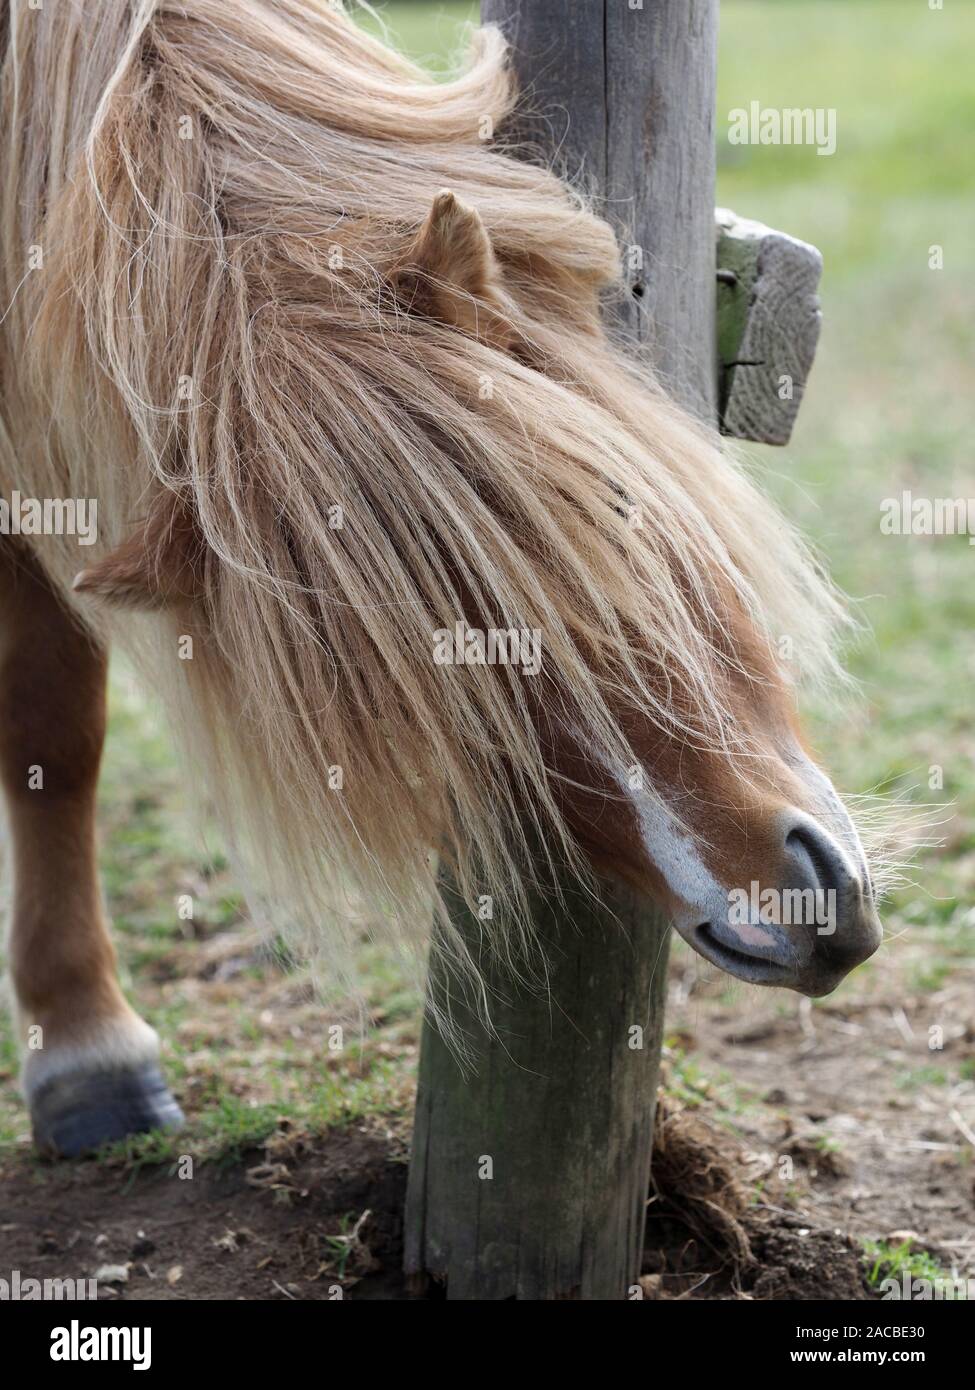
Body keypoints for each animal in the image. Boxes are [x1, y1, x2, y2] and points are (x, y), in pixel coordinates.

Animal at [0, 0, 882, 1156]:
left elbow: (57, 732)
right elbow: (48, 733)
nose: (792, 907)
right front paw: (88, 1053)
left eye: (619, 511)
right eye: (421, 692)